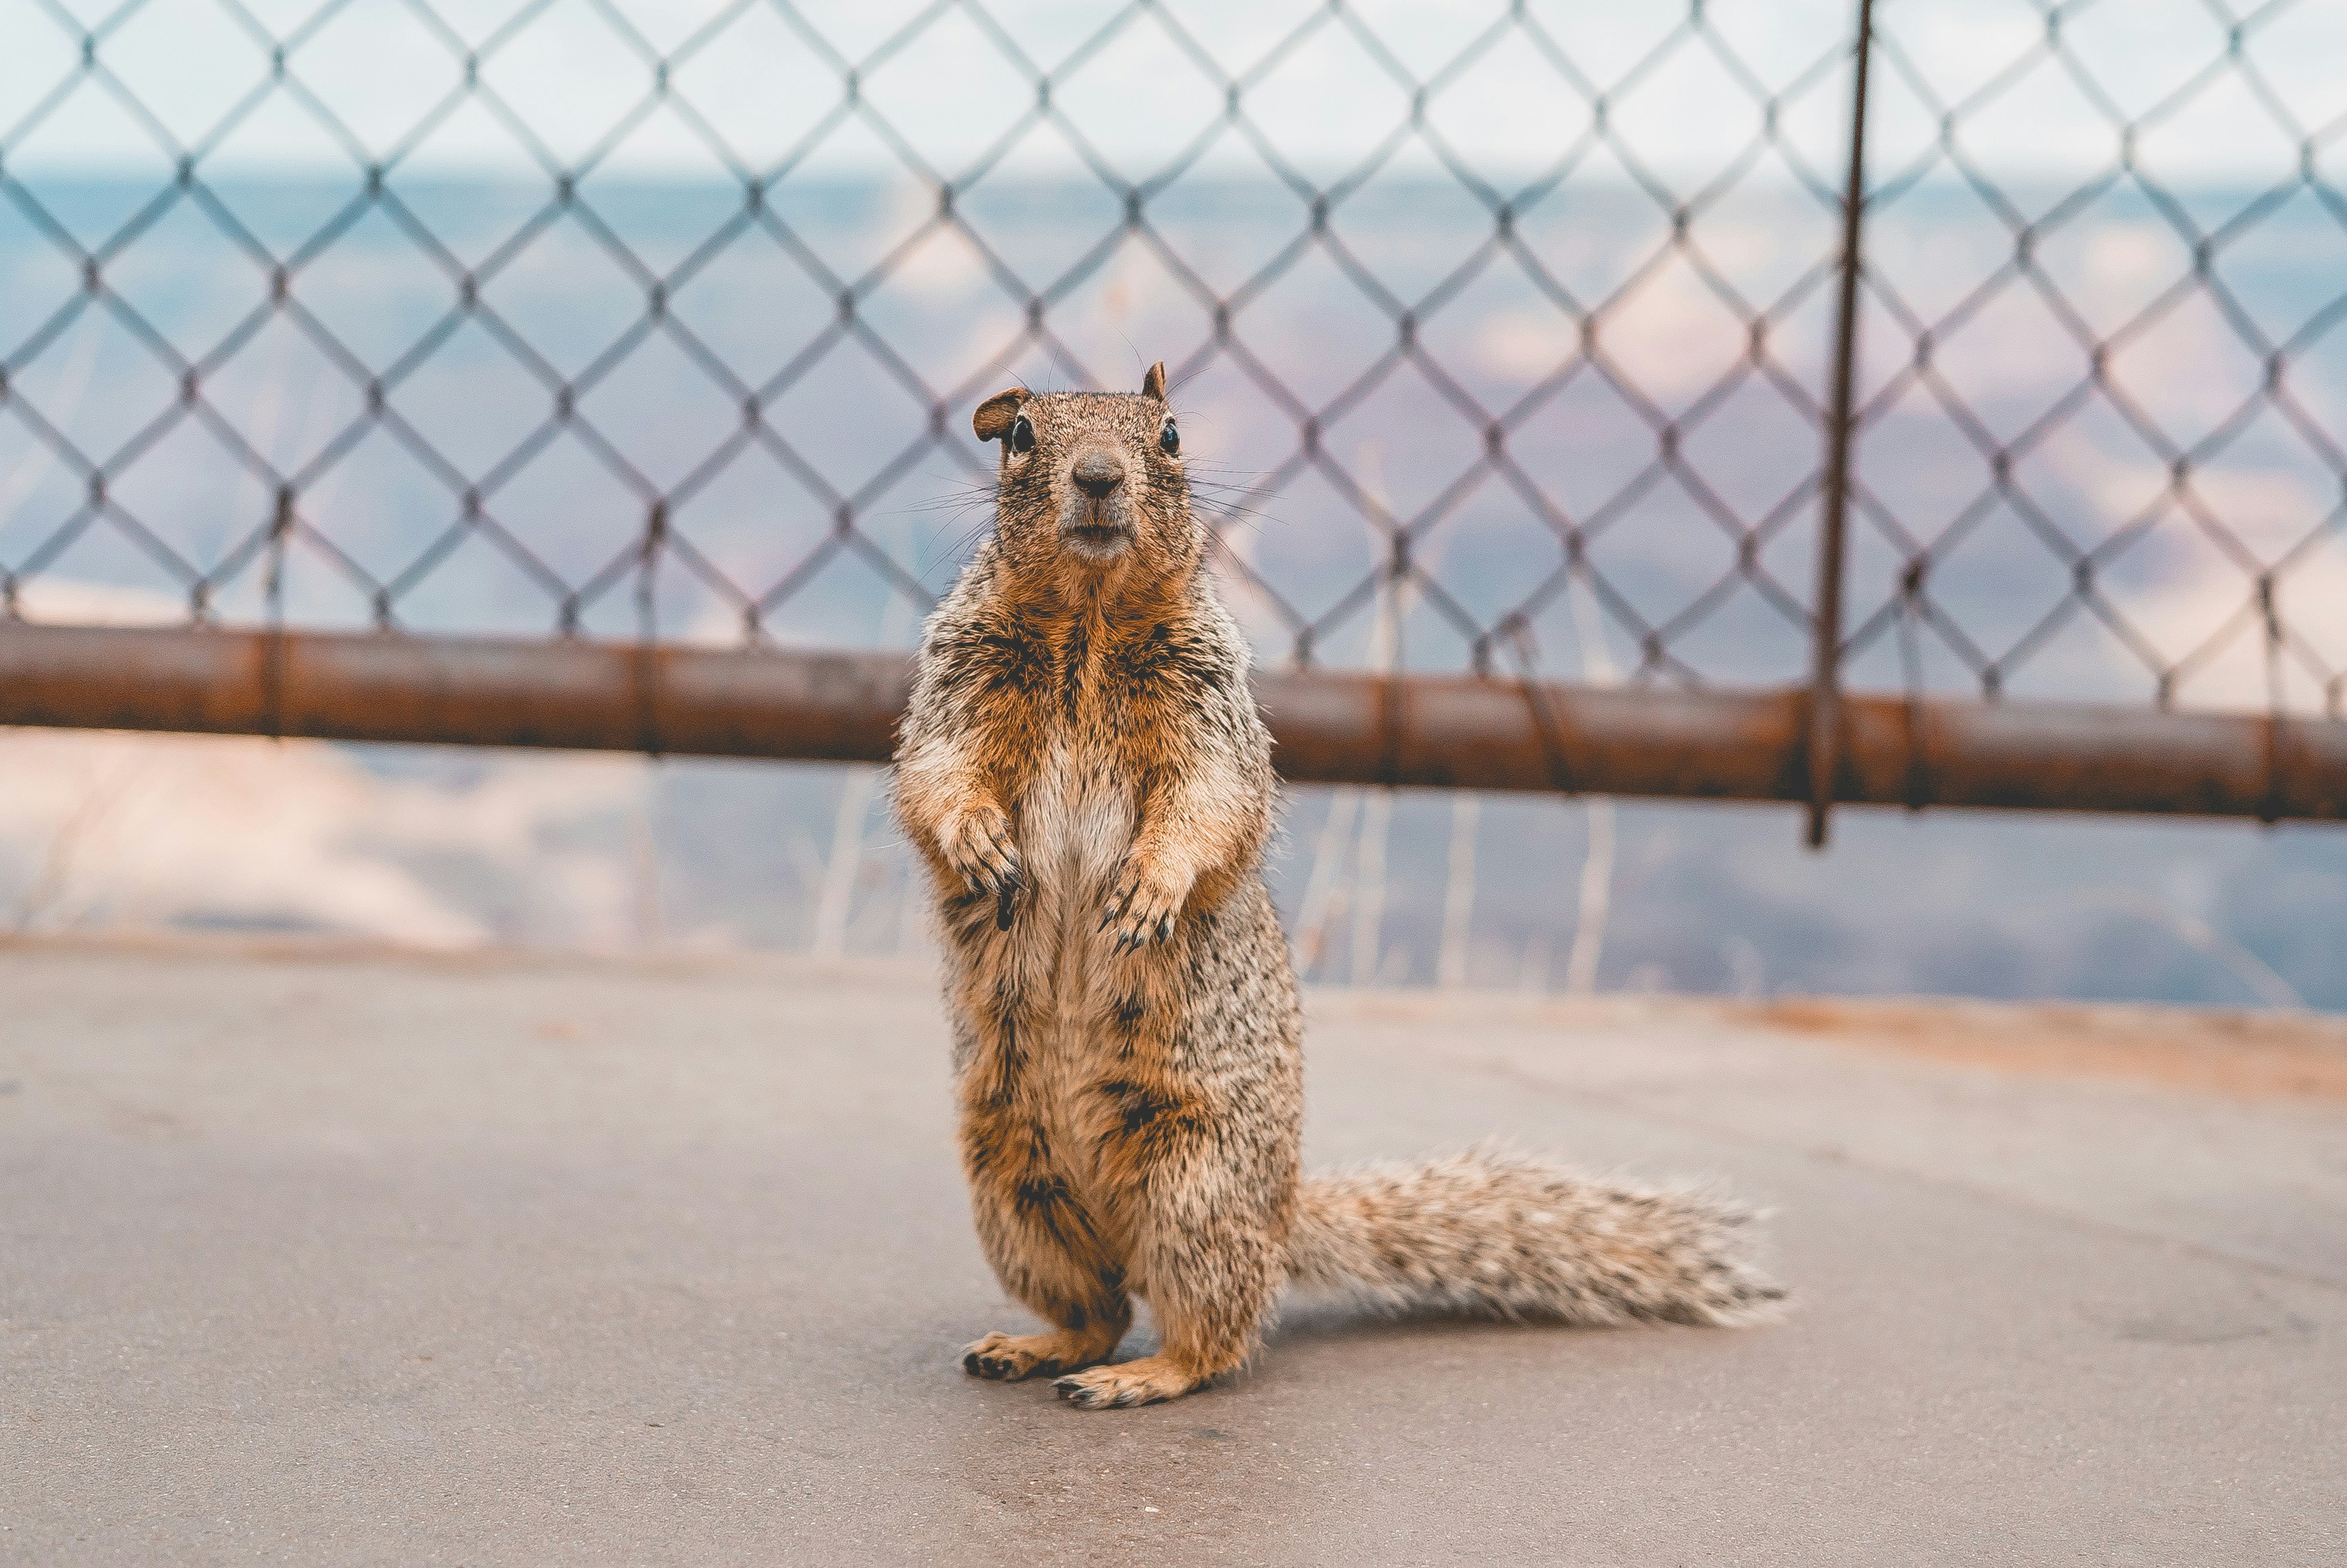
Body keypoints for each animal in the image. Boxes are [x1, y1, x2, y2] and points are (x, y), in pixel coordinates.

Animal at [891, 362, 1784, 1409]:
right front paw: (979, 843)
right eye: (1021, 434)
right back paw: (1036, 1347)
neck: (1088, 619)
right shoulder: (957, 682)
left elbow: (1210, 802)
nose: (1101, 476)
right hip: (1014, 1185)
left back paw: (1139, 1374)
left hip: (1193, 1188)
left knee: (1208, 1332)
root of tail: (1283, 1217)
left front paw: (1150, 887)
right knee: (1096, 1305)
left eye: (1172, 433)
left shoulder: (1211, 710)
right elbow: (937, 773)